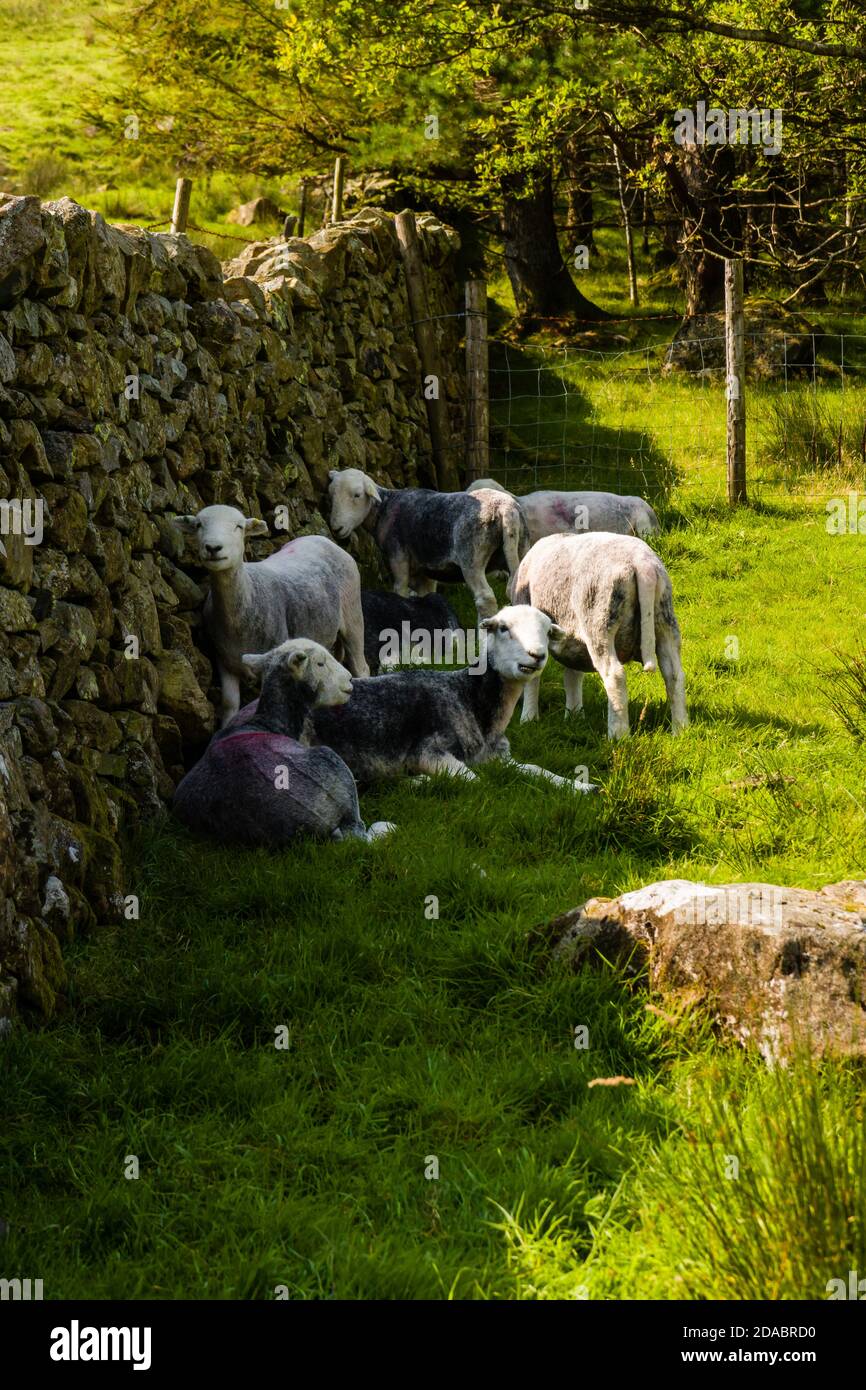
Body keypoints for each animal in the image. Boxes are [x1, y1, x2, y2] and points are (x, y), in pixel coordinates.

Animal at [174, 504, 369, 723]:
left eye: (239, 527)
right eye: (198, 525)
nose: (213, 548)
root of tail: (321, 538)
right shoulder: (224, 661)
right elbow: (229, 705)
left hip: (353, 613)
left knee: (361, 666)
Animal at [306, 603, 594, 791]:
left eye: (547, 632)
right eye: (503, 628)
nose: (537, 655)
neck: (471, 697)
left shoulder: (498, 757)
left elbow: (536, 769)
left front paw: (577, 786)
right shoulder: (428, 751)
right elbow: (478, 781)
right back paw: (415, 782)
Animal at [328, 468, 529, 620]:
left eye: (357, 495)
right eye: (331, 495)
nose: (336, 528)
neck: (384, 508)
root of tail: (505, 509)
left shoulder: (398, 557)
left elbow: (400, 590)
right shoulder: (427, 569)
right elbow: (427, 596)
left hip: (471, 558)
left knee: (485, 598)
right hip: (522, 549)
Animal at [510, 533, 687, 738]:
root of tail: (643, 564)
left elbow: (533, 676)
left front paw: (528, 719)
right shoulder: (573, 643)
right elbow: (572, 675)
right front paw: (574, 716)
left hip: (600, 621)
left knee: (615, 675)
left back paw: (618, 734)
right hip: (665, 618)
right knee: (673, 674)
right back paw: (680, 730)